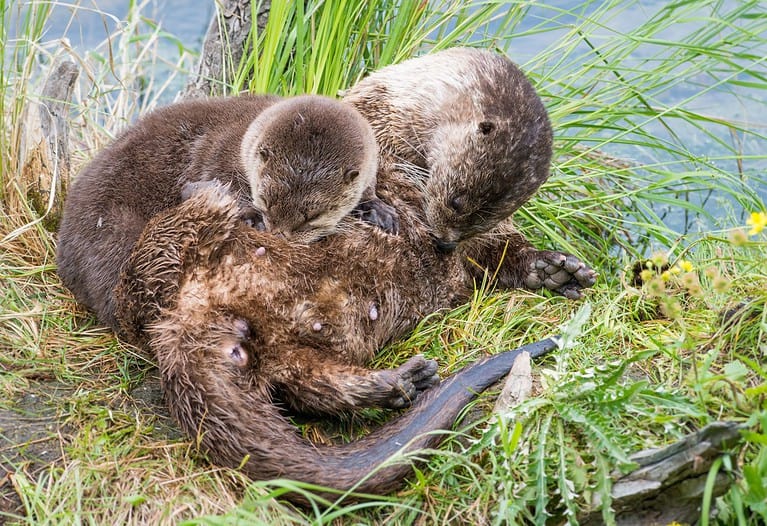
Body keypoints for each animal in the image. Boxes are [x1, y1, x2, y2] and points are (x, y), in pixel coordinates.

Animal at [57, 94, 396, 329]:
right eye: (266, 200)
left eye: (311, 217)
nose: (277, 237)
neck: (243, 143)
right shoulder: (220, 157)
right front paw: (250, 219)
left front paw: (380, 210)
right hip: (111, 234)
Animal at [113, 170, 596, 501]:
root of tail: (182, 322)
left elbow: (502, 257)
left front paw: (557, 271)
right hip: (167, 256)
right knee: (190, 220)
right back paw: (216, 195)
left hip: (287, 353)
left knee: (317, 385)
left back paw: (404, 382)